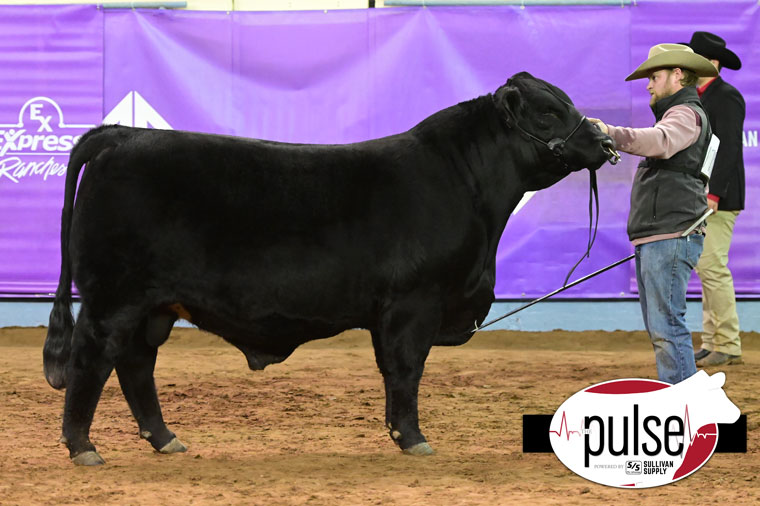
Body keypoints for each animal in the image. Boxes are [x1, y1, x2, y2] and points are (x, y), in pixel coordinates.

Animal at [43, 72, 618, 465]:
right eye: (547, 112)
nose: (606, 142)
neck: (465, 186)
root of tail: (121, 135)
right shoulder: (414, 302)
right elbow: (406, 370)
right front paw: (413, 439)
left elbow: (395, 373)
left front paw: (399, 434)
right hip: (114, 296)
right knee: (92, 358)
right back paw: (81, 446)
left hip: (151, 305)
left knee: (135, 364)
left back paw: (165, 440)